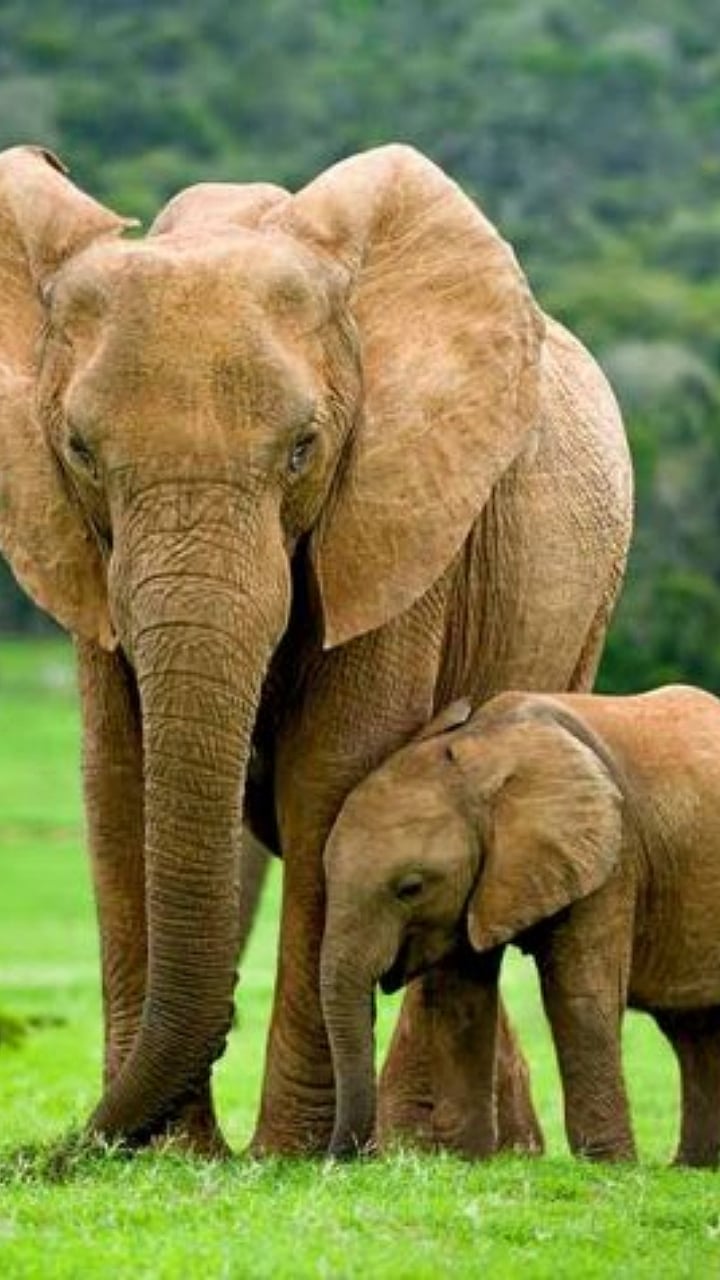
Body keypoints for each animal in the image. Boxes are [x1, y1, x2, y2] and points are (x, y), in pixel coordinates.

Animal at [0, 142, 632, 1156]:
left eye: (303, 448)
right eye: (80, 450)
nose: (58, 1154)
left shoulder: (398, 512)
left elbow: (330, 776)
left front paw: (289, 1157)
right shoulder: (78, 545)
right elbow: (117, 780)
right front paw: (173, 1154)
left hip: (587, 605)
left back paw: (433, 1146)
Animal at [321, 686, 720, 1166]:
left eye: (410, 888)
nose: (339, 1160)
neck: (483, 753)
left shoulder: (610, 857)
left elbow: (580, 995)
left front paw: (610, 1166)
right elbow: (461, 1001)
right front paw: (468, 1161)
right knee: (691, 1028)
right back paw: (695, 1166)